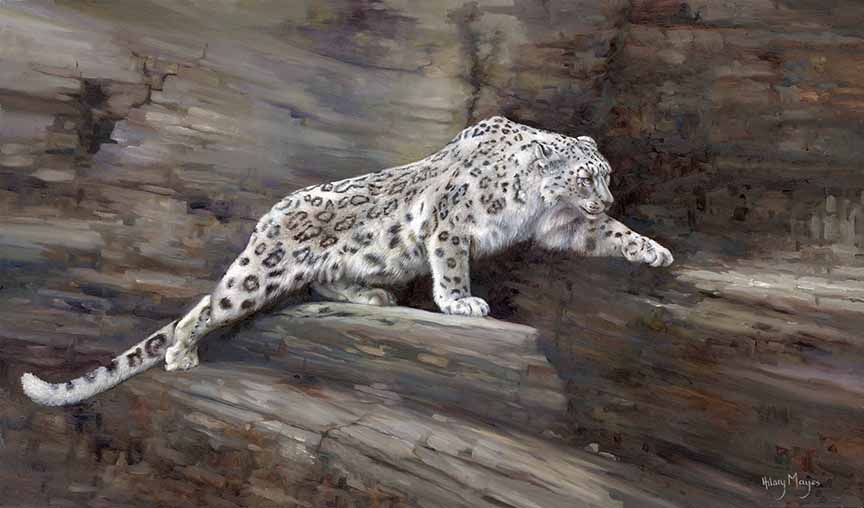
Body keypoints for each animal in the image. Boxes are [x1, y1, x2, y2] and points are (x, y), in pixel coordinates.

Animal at [21, 116, 673, 406]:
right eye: (587, 177)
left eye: (605, 176)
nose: (609, 196)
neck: (533, 198)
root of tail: (266, 218)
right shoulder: (451, 225)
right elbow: (452, 264)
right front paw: (462, 301)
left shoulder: (558, 224)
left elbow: (601, 235)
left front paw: (654, 250)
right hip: (254, 276)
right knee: (205, 309)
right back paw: (182, 354)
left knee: (317, 288)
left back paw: (370, 295)